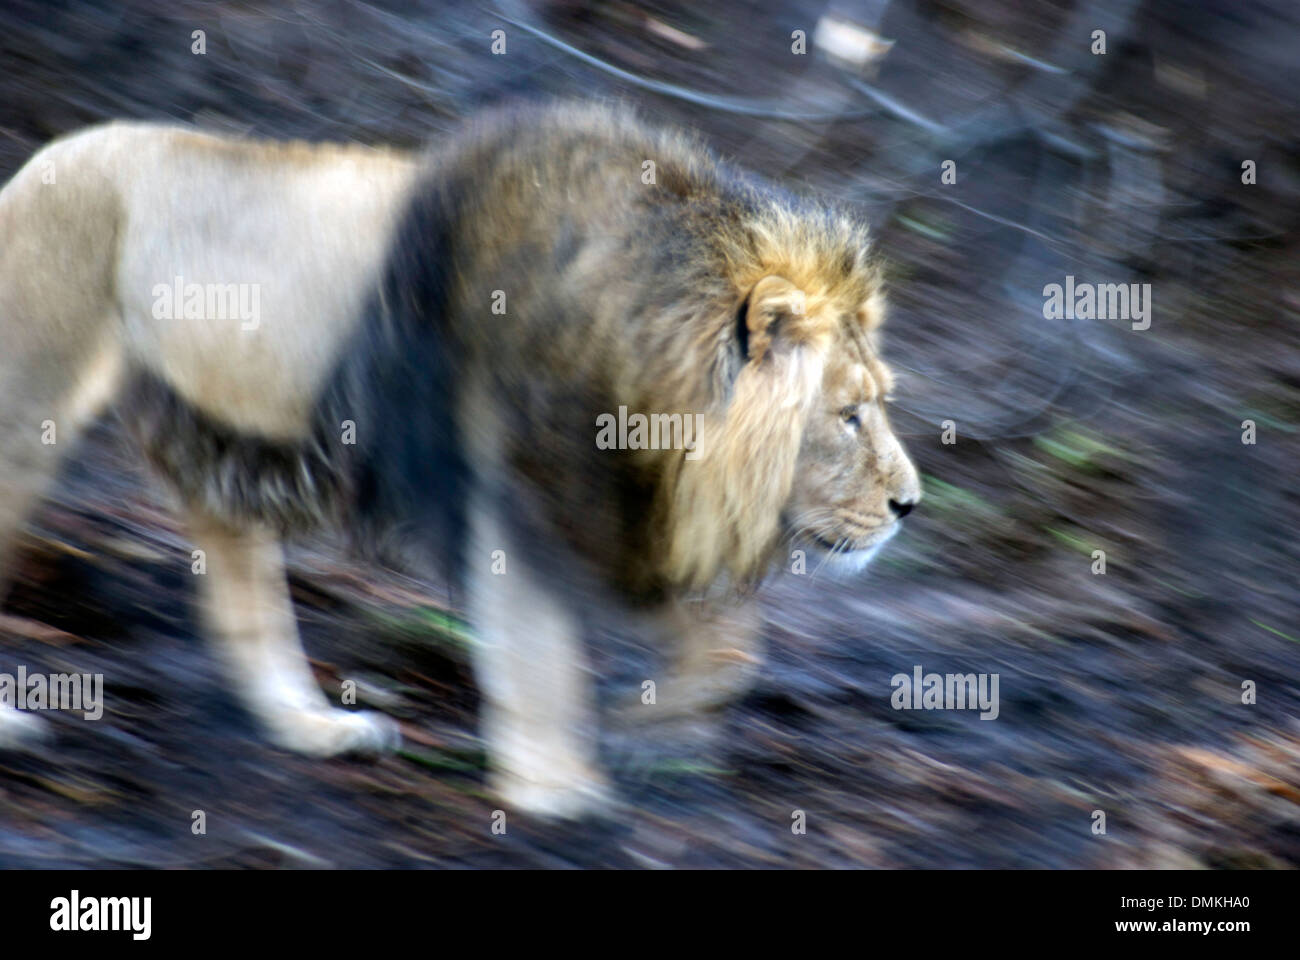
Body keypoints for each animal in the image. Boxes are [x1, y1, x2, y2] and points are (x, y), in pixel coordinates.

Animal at [0, 103, 921, 818]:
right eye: (847, 416)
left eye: (879, 400)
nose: (909, 506)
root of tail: (49, 154)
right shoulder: (516, 500)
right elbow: (539, 654)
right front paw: (558, 790)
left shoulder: (622, 520)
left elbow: (731, 651)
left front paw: (644, 731)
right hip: (32, 401)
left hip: (216, 438)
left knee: (243, 605)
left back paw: (318, 729)